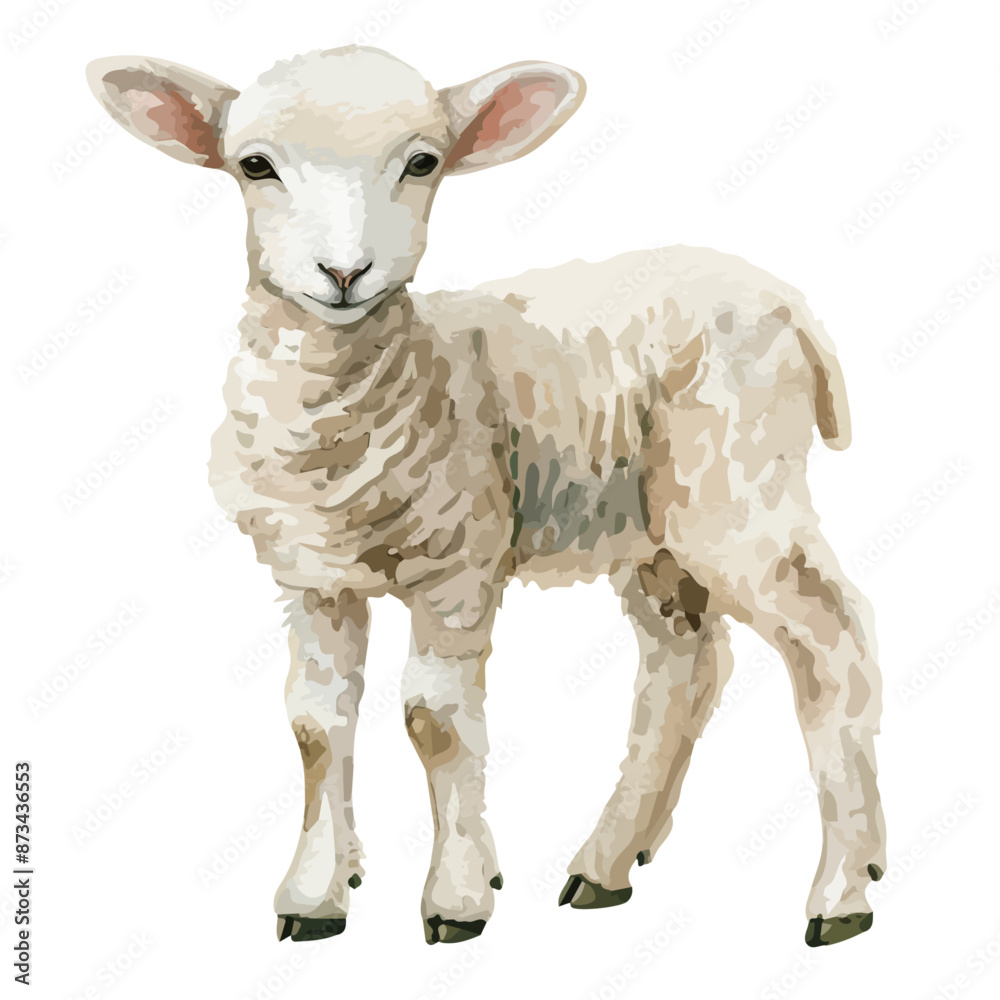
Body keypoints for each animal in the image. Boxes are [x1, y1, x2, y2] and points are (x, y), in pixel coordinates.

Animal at [88, 45, 885, 949]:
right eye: (254, 165)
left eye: (423, 162)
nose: (343, 273)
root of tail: (789, 307)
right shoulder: (311, 577)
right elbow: (315, 725)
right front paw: (317, 891)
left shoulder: (460, 564)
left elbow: (432, 719)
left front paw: (459, 896)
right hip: (652, 527)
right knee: (683, 667)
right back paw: (607, 865)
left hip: (736, 492)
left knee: (831, 639)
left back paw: (843, 892)